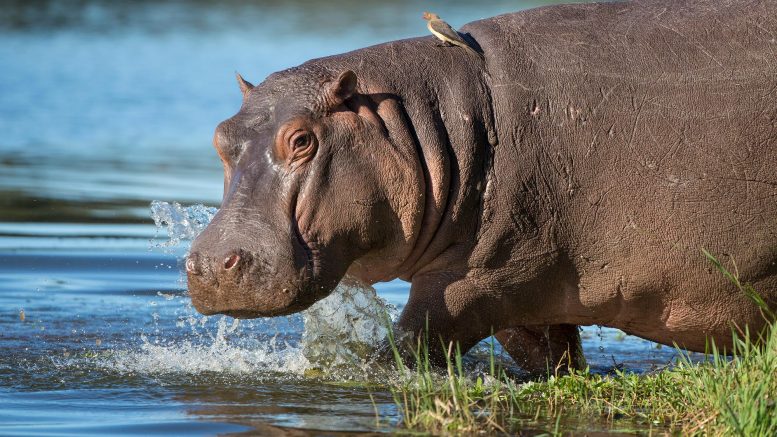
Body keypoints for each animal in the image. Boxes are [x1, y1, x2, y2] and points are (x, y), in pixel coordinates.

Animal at [186, 0, 777, 373]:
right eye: (219, 135)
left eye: (303, 139)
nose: (212, 263)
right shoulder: (529, 290)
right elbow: (552, 358)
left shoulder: (476, 282)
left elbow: (404, 349)